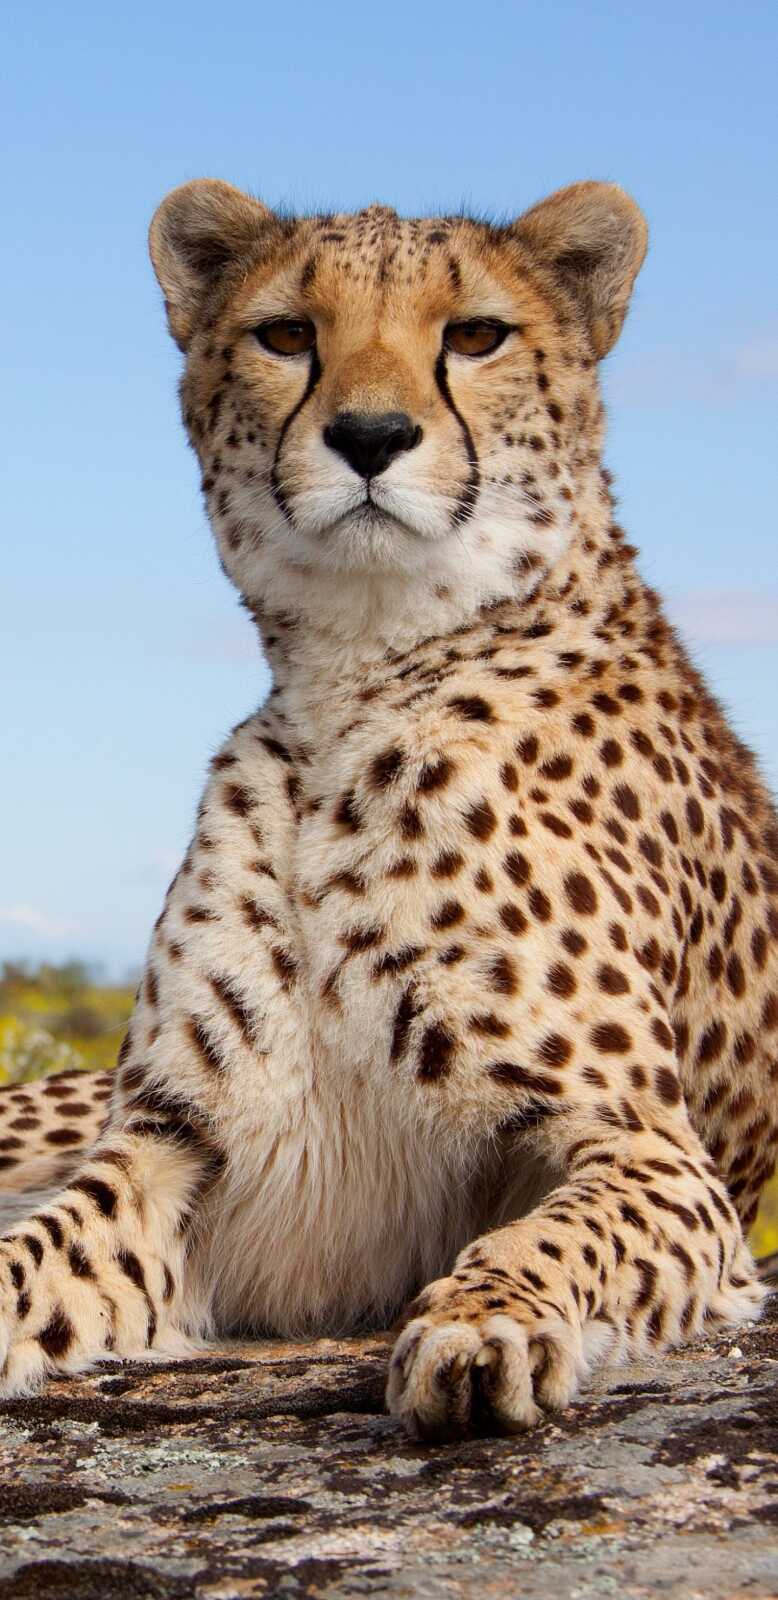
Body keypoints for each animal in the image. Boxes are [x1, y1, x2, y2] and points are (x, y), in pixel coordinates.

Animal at [1, 176, 776, 1441]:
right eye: (285, 335)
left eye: (475, 335)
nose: (369, 436)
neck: (357, 677)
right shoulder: (170, 1147)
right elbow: (29, 1255)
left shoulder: (651, 1153)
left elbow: (554, 1233)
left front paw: (483, 1321)